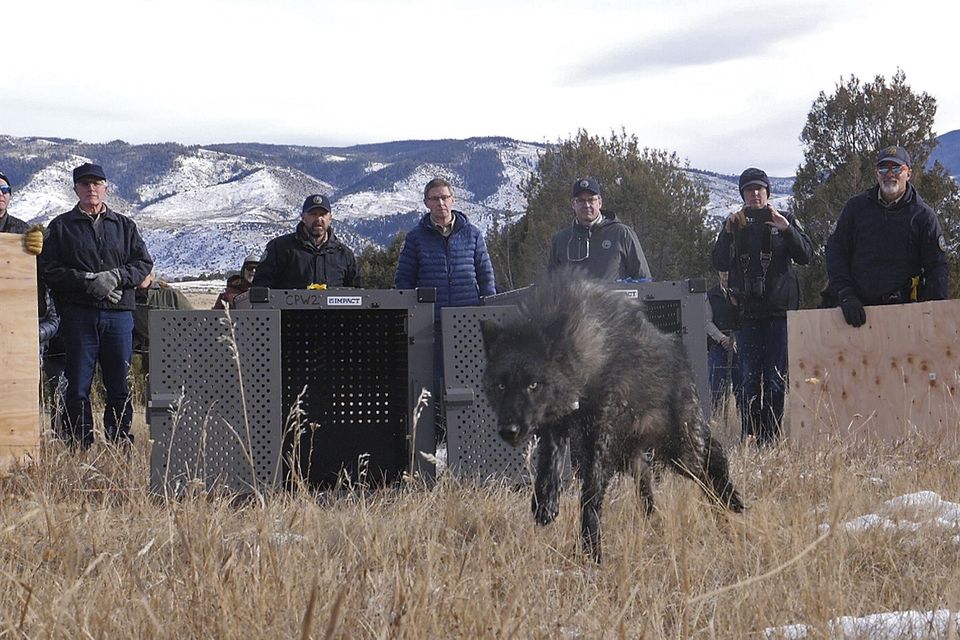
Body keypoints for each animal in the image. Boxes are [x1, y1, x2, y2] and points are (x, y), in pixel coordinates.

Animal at [481, 275, 744, 561]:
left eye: (533, 385)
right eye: (501, 386)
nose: (509, 430)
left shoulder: (599, 439)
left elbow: (590, 495)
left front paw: (591, 549)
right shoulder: (557, 426)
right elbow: (549, 466)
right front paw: (546, 503)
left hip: (680, 451)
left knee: (712, 460)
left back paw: (730, 503)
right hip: (634, 456)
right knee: (647, 479)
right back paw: (655, 521)